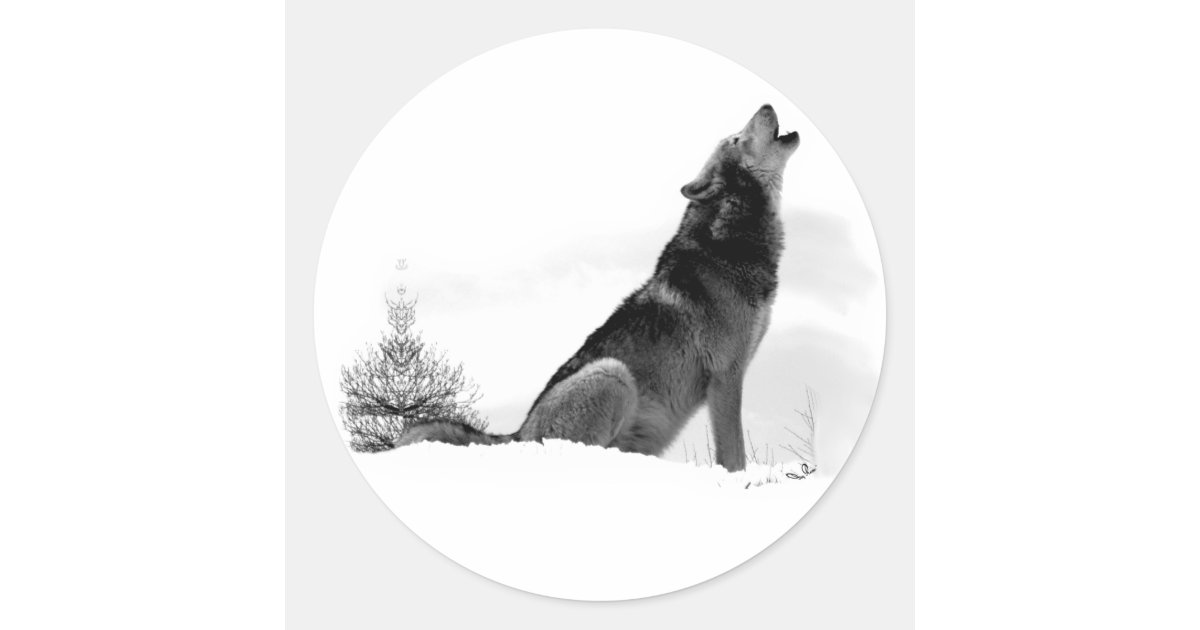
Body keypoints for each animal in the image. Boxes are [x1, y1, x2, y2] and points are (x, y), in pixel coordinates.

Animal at [397, 104, 799, 472]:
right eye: (736, 139)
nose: (765, 104)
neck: (729, 239)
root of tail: (518, 434)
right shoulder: (726, 376)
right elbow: (734, 456)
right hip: (612, 374)